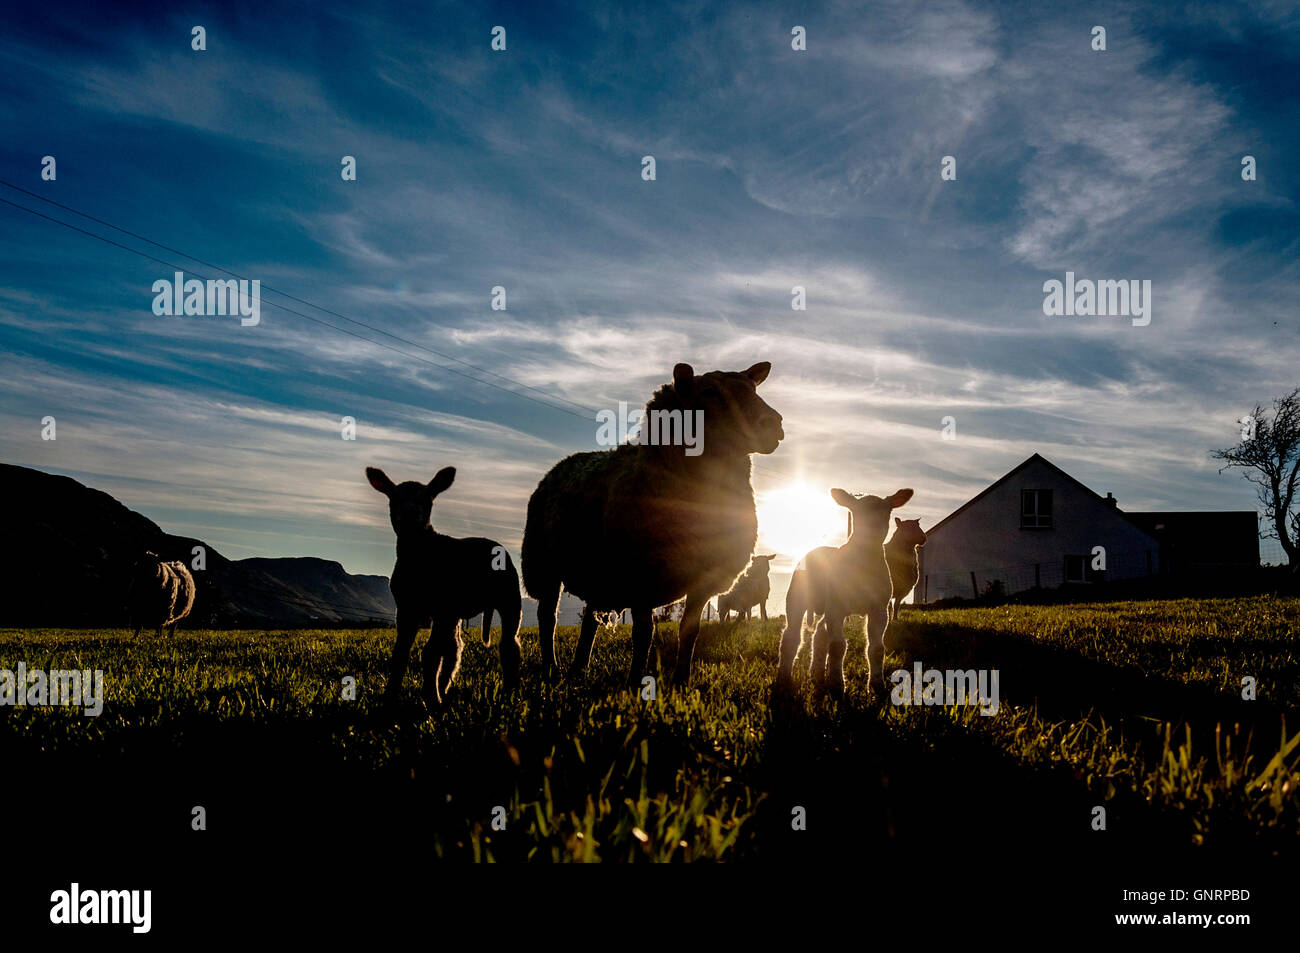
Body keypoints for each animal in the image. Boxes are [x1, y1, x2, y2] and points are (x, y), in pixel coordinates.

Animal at [366, 465, 522, 708]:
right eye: (394, 500)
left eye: (427, 500)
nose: (409, 515)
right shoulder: (406, 609)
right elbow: (400, 653)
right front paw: (390, 696)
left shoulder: (442, 608)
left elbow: (429, 653)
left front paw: (430, 698)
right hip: (457, 612)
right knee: (454, 647)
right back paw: (445, 687)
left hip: (509, 598)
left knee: (509, 644)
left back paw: (508, 691)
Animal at [522, 362, 784, 685]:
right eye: (710, 392)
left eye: (753, 389)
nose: (773, 423)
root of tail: (561, 464)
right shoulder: (640, 577)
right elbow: (643, 634)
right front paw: (635, 683)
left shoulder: (703, 580)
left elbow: (690, 631)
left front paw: (682, 681)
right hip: (543, 566)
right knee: (548, 617)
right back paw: (552, 668)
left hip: (600, 569)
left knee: (589, 621)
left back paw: (579, 667)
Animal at [776, 488, 914, 698]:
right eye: (856, 512)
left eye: (887, 511)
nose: (871, 532)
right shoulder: (837, 607)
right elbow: (837, 647)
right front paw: (836, 685)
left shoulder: (879, 608)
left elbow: (877, 649)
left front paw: (876, 685)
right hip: (798, 596)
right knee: (791, 636)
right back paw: (784, 677)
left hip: (828, 606)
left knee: (819, 634)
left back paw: (816, 673)